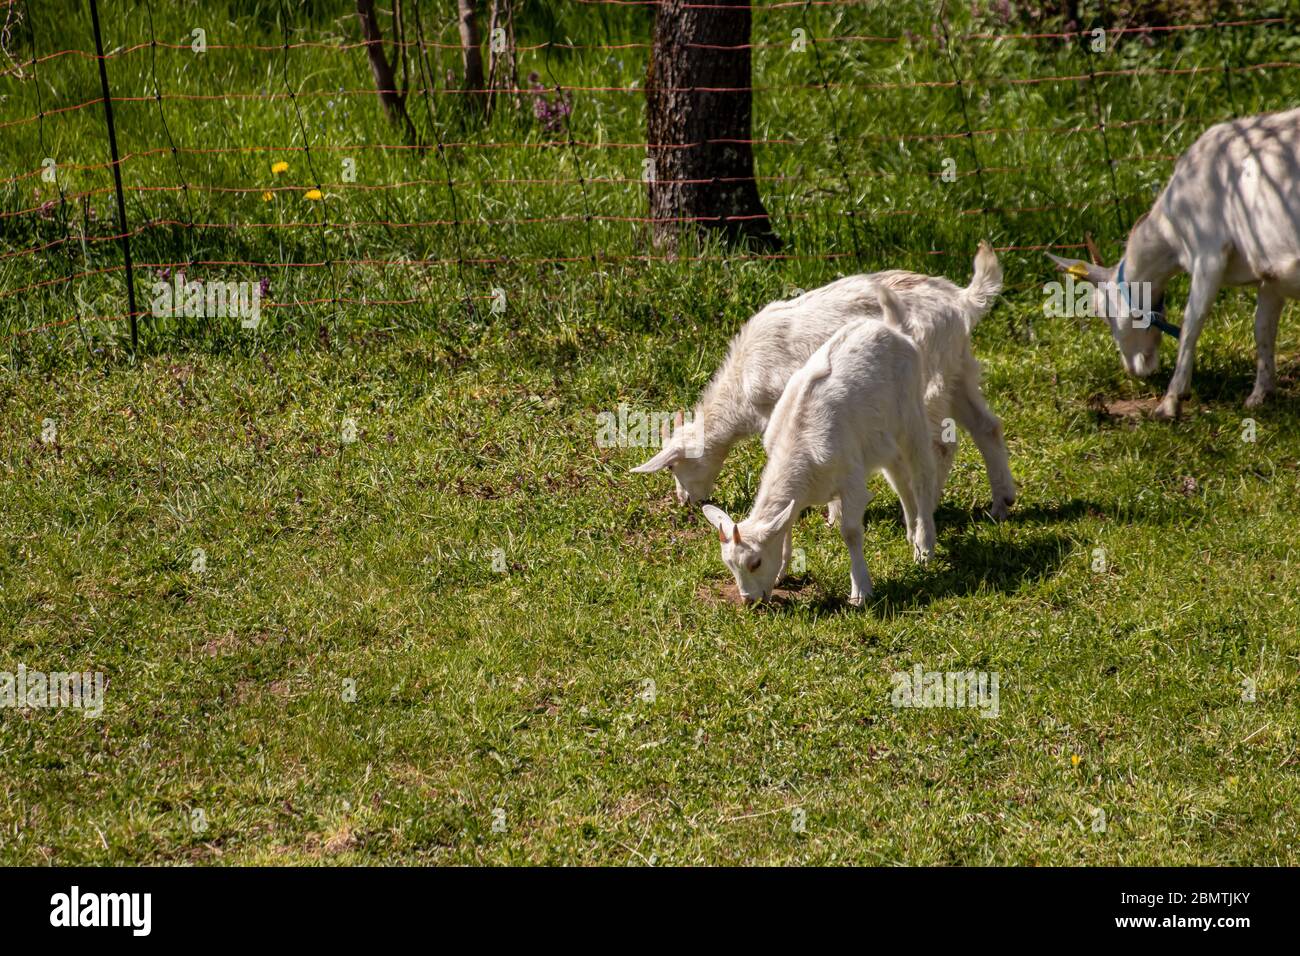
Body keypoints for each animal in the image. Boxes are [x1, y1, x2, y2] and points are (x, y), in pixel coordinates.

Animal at [701, 288, 937, 607]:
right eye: (729, 564)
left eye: (755, 562)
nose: (749, 599)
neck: (801, 451)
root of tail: (893, 329)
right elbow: (787, 524)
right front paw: (782, 574)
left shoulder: (851, 480)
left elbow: (850, 532)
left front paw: (861, 591)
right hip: (881, 438)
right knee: (900, 477)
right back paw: (912, 535)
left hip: (912, 412)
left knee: (922, 474)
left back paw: (924, 549)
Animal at [1048, 108, 1300, 419]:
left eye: (1101, 312)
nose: (1133, 369)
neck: (1171, 228)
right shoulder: (1268, 271)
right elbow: (1263, 328)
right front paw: (1260, 394)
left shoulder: (1208, 253)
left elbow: (1191, 325)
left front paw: (1170, 401)